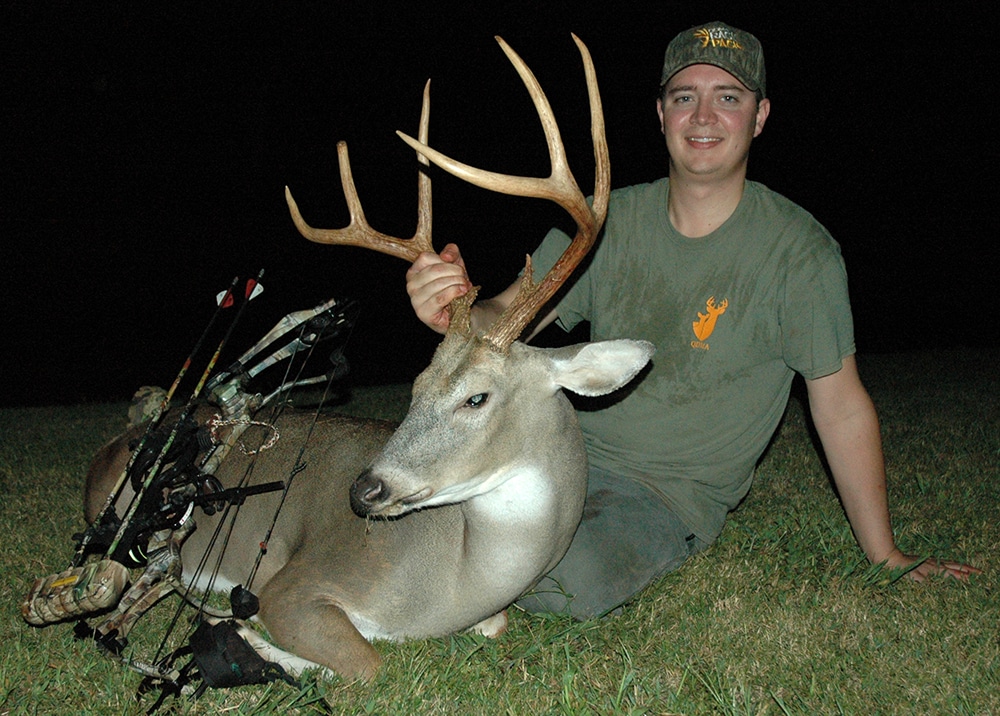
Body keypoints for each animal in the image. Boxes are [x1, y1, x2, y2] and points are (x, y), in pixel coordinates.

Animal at [79, 35, 654, 682]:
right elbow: (366, 664)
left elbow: (489, 627)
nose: (364, 492)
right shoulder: (292, 585)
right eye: (417, 385)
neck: (459, 574)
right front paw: (247, 640)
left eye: (476, 396)